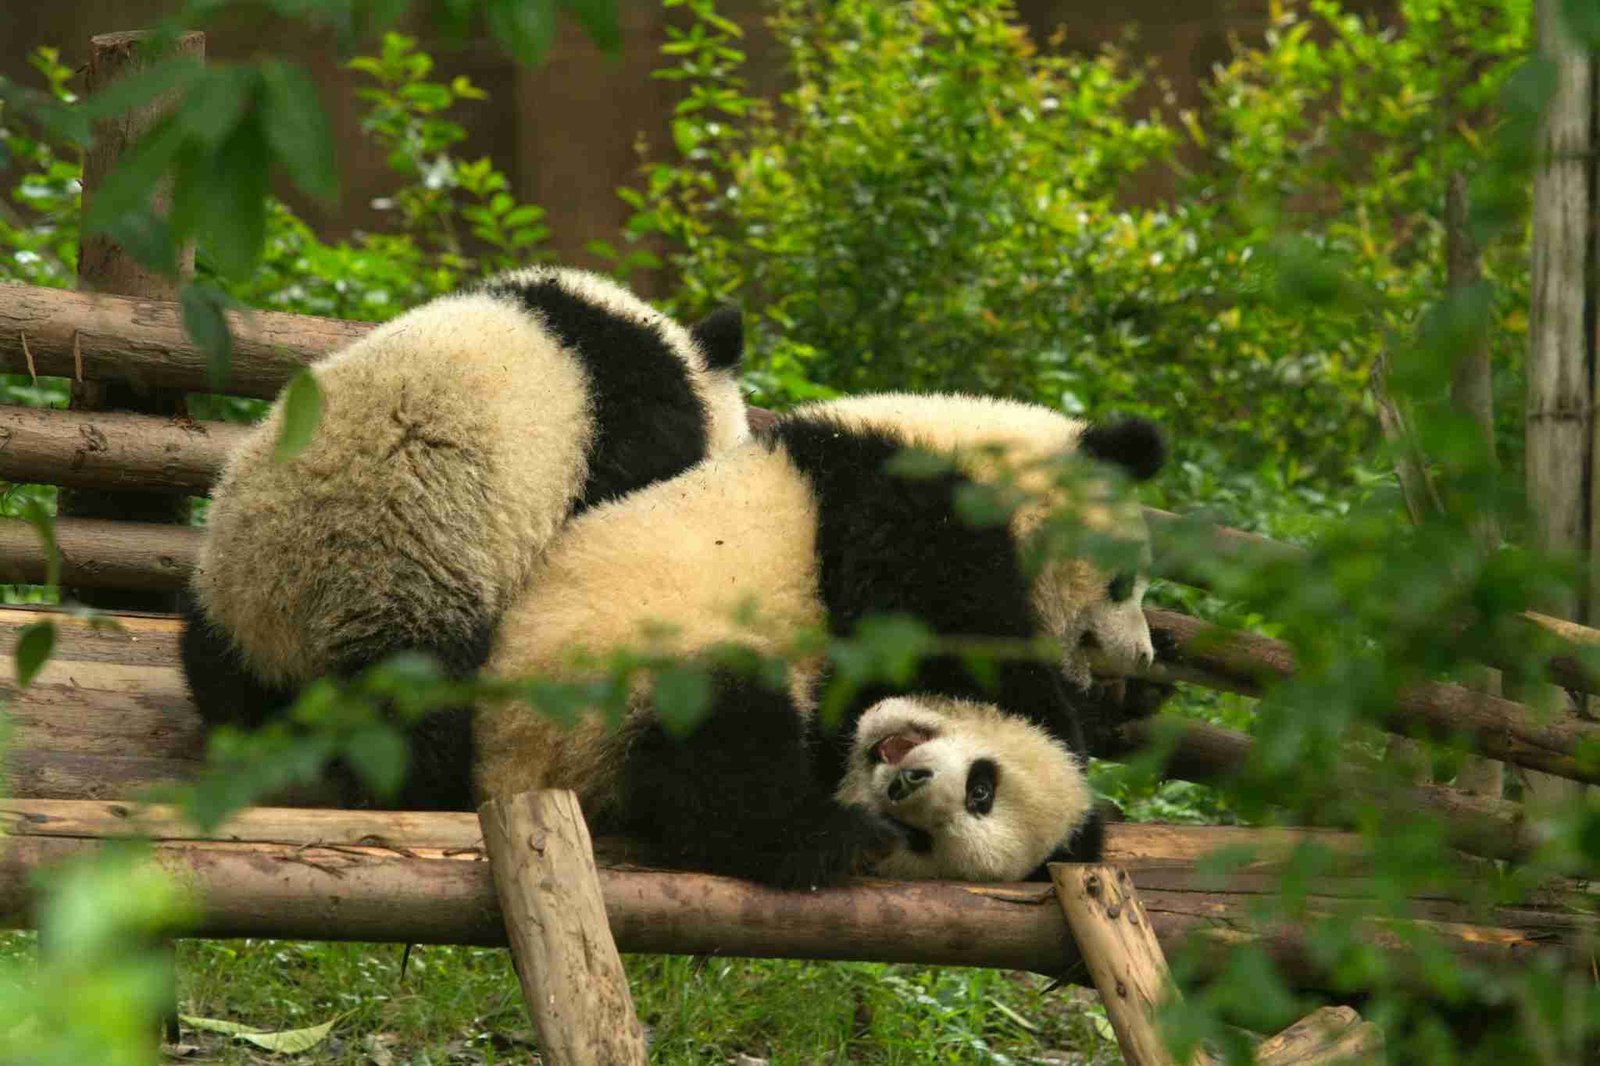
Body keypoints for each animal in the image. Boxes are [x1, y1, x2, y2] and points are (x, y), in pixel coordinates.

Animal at [180, 266, 748, 810]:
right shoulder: (635, 429)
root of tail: (275, 628)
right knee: (415, 713)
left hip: (223, 584)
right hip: (395, 580)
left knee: (215, 674)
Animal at [473, 391, 1164, 887]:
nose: (1143, 655)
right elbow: (941, 631)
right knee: (721, 733)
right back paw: (823, 839)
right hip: (600, 686)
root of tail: (505, 773)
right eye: (1122, 582)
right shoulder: (904, 506)